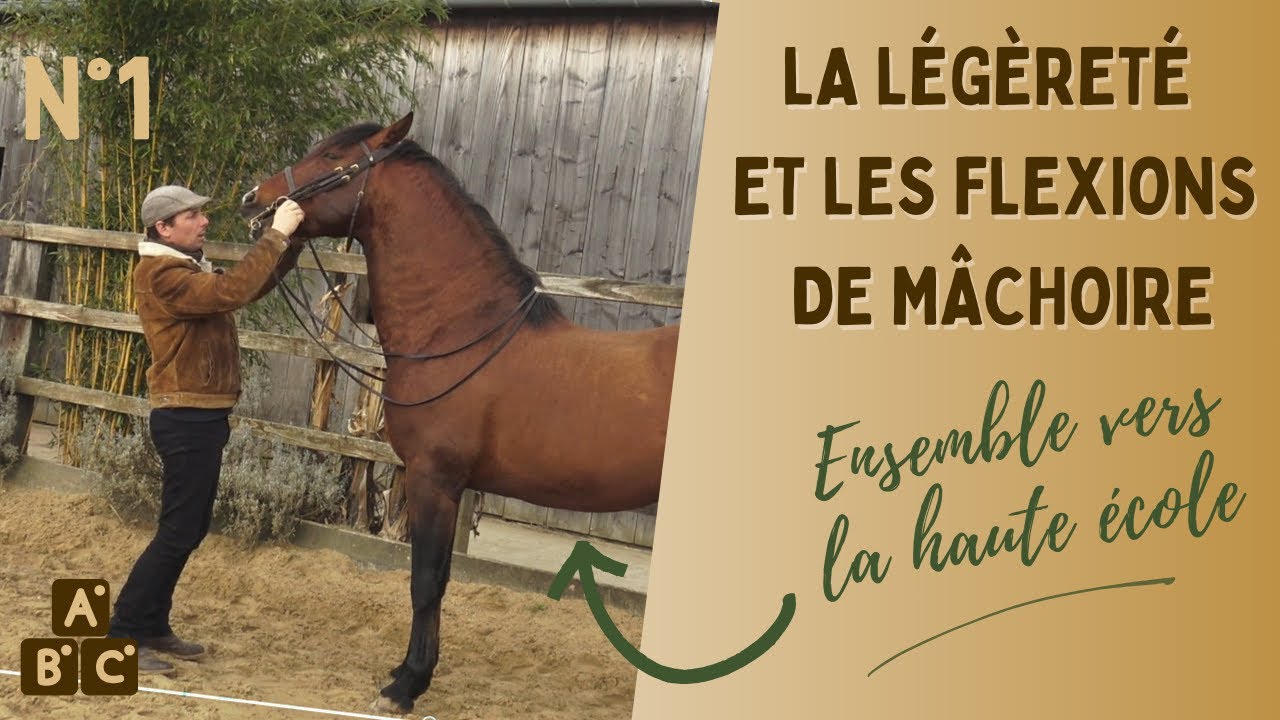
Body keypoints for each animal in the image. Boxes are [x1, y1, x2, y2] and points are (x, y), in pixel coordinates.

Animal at [240, 112, 677, 713]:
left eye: (331, 158)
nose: (255, 201)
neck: (462, 332)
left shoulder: (434, 479)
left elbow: (425, 580)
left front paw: (406, 685)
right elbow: (439, 577)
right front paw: (410, 672)